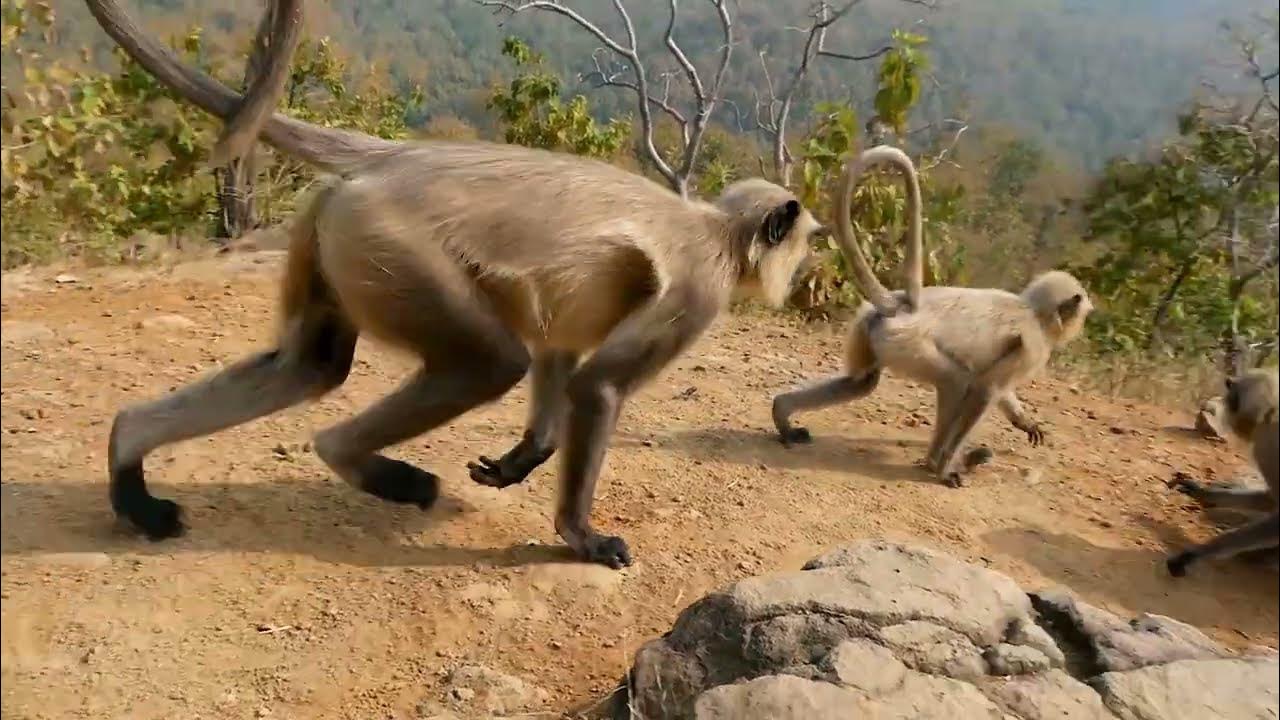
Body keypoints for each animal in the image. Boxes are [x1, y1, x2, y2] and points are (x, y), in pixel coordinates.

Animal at [87, 0, 822, 569]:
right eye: (805, 244)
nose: (802, 273)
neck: (716, 229)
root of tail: (399, 157)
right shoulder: (701, 290)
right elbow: (596, 385)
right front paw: (579, 536)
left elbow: (558, 353)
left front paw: (522, 459)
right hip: (393, 243)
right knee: (487, 362)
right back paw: (362, 464)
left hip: (337, 233)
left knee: (310, 365)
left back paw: (130, 466)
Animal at [770, 146, 1094, 487]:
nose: (1081, 324)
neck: (1033, 310)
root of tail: (905, 306)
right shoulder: (1035, 345)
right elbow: (985, 388)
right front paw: (947, 464)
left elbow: (997, 385)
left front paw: (1025, 421)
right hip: (910, 343)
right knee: (955, 381)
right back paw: (939, 465)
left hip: (870, 331)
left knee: (861, 383)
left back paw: (783, 414)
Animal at [1166, 367, 1280, 577]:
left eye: (1232, 393)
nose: (1223, 399)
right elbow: (1270, 499)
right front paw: (1201, 492)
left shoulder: (1269, 440)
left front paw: (1195, 554)